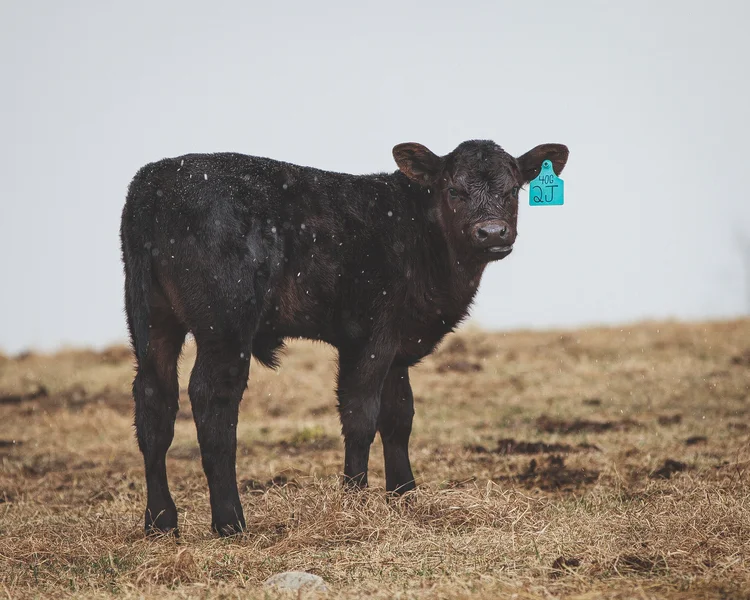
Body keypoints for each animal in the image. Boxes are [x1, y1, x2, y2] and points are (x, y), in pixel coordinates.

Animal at [120, 139, 569, 536]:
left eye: (512, 189)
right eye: (454, 190)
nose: (492, 232)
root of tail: (156, 180)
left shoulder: (397, 346)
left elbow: (399, 417)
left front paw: (403, 496)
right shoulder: (371, 336)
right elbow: (360, 416)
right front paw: (355, 500)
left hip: (150, 320)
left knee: (154, 403)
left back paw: (160, 523)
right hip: (225, 326)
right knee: (212, 402)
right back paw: (230, 523)